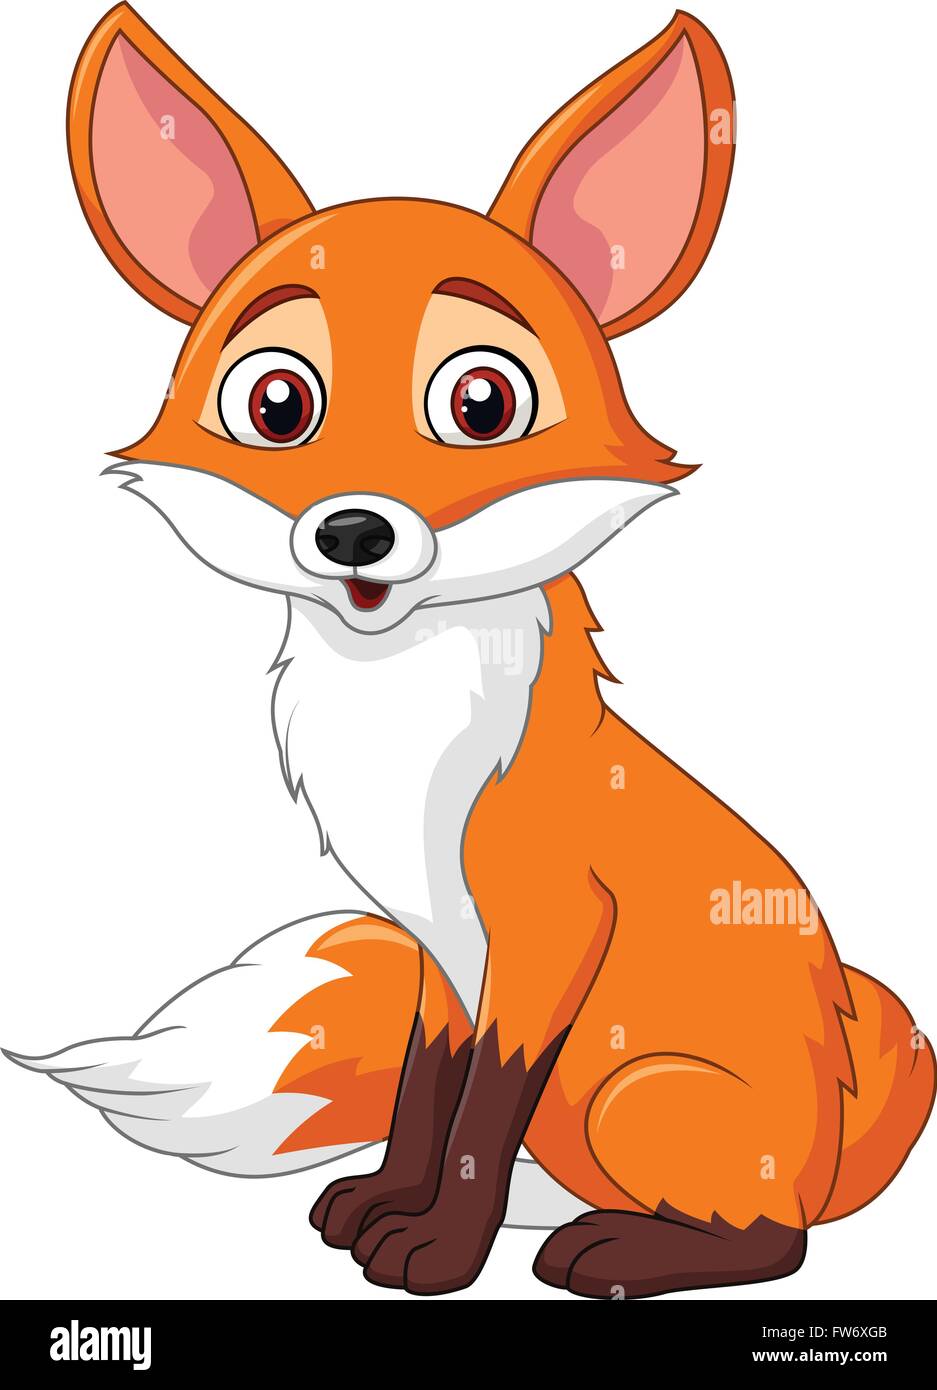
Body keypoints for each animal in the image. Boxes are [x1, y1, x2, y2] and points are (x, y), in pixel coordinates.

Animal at [6, 3, 934, 1300]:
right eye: (278, 405)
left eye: (481, 404)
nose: (353, 528)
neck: (403, 734)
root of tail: (842, 1147)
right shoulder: (439, 950)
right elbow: (424, 1090)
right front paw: (385, 1207)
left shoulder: (545, 936)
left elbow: (484, 1106)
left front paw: (440, 1248)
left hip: (644, 1093)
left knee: (774, 1239)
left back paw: (616, 1247)